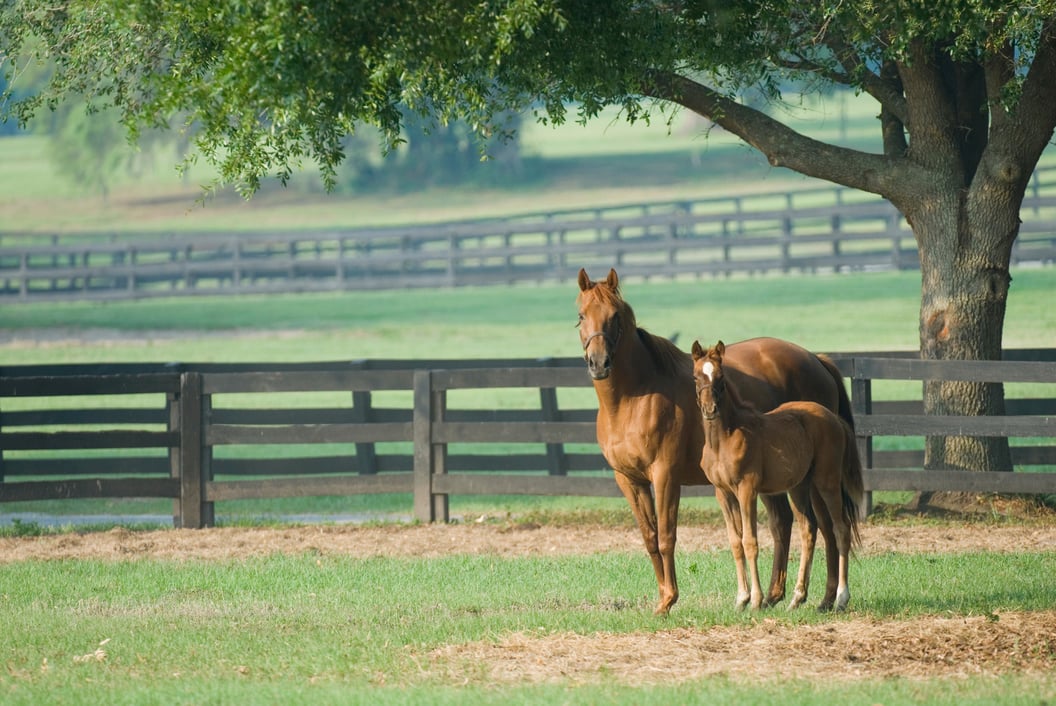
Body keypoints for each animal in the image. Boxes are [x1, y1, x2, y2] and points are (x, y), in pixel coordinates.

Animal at [692, 339, 864, 611]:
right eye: (696, 377)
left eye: (721, 377)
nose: (710, 409)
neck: (724, 439)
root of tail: (833, 418)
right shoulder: (722, 493)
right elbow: (735, 542)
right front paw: (741, 599)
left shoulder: (747, 489)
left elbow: (750, 541)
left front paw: (755, 599)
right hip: (799, 487)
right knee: (809, 529)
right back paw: (797, 598)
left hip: (826, 482)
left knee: (841, 528)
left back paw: (840, 598)